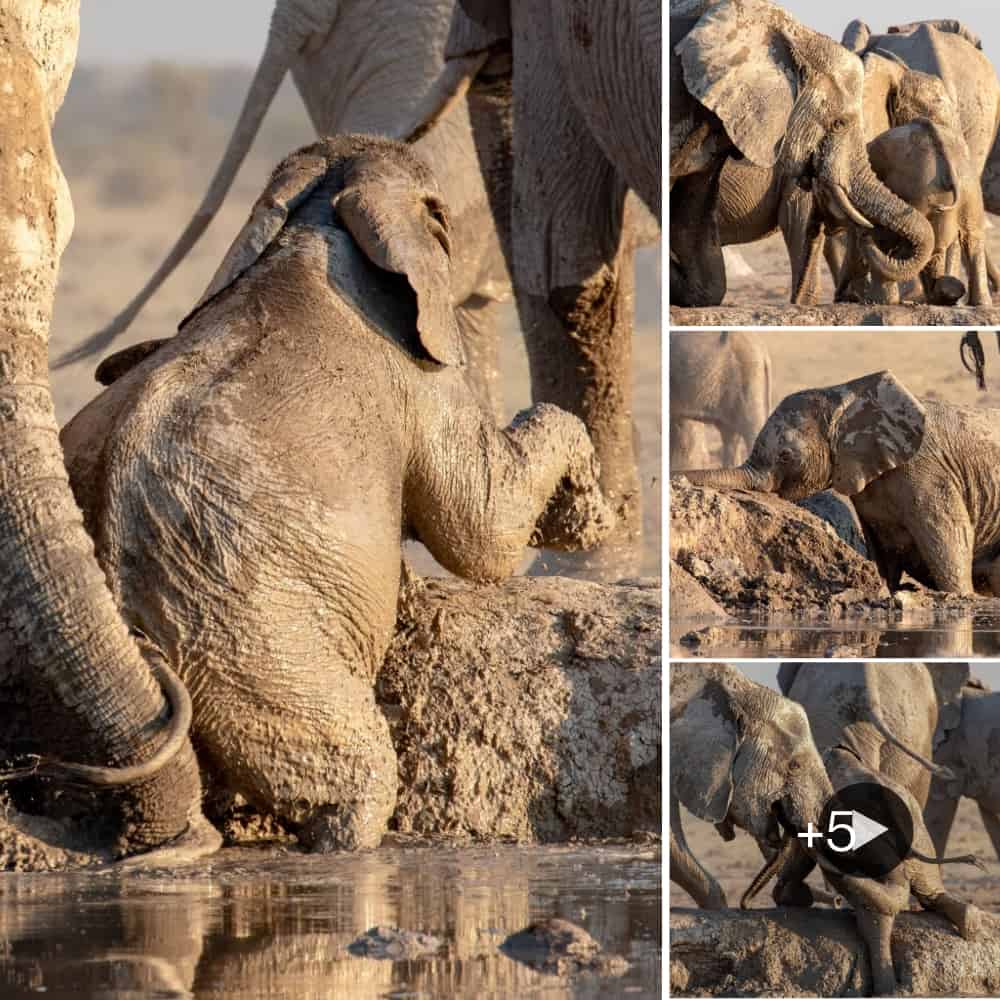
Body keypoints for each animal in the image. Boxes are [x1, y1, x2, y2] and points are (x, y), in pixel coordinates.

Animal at [1, 133, 615, 859]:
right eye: (441, 220)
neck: (317, 216)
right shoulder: (417, 374)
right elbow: (480, 534)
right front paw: (585, 520)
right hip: (256, 648)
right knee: (355, 775)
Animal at [681, 370, 1000, 597]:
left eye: (786, 455)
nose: (678, 477)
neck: (843, 393)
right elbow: (882, 555)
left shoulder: (930, 473)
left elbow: (950, 540)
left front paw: (961, 597)